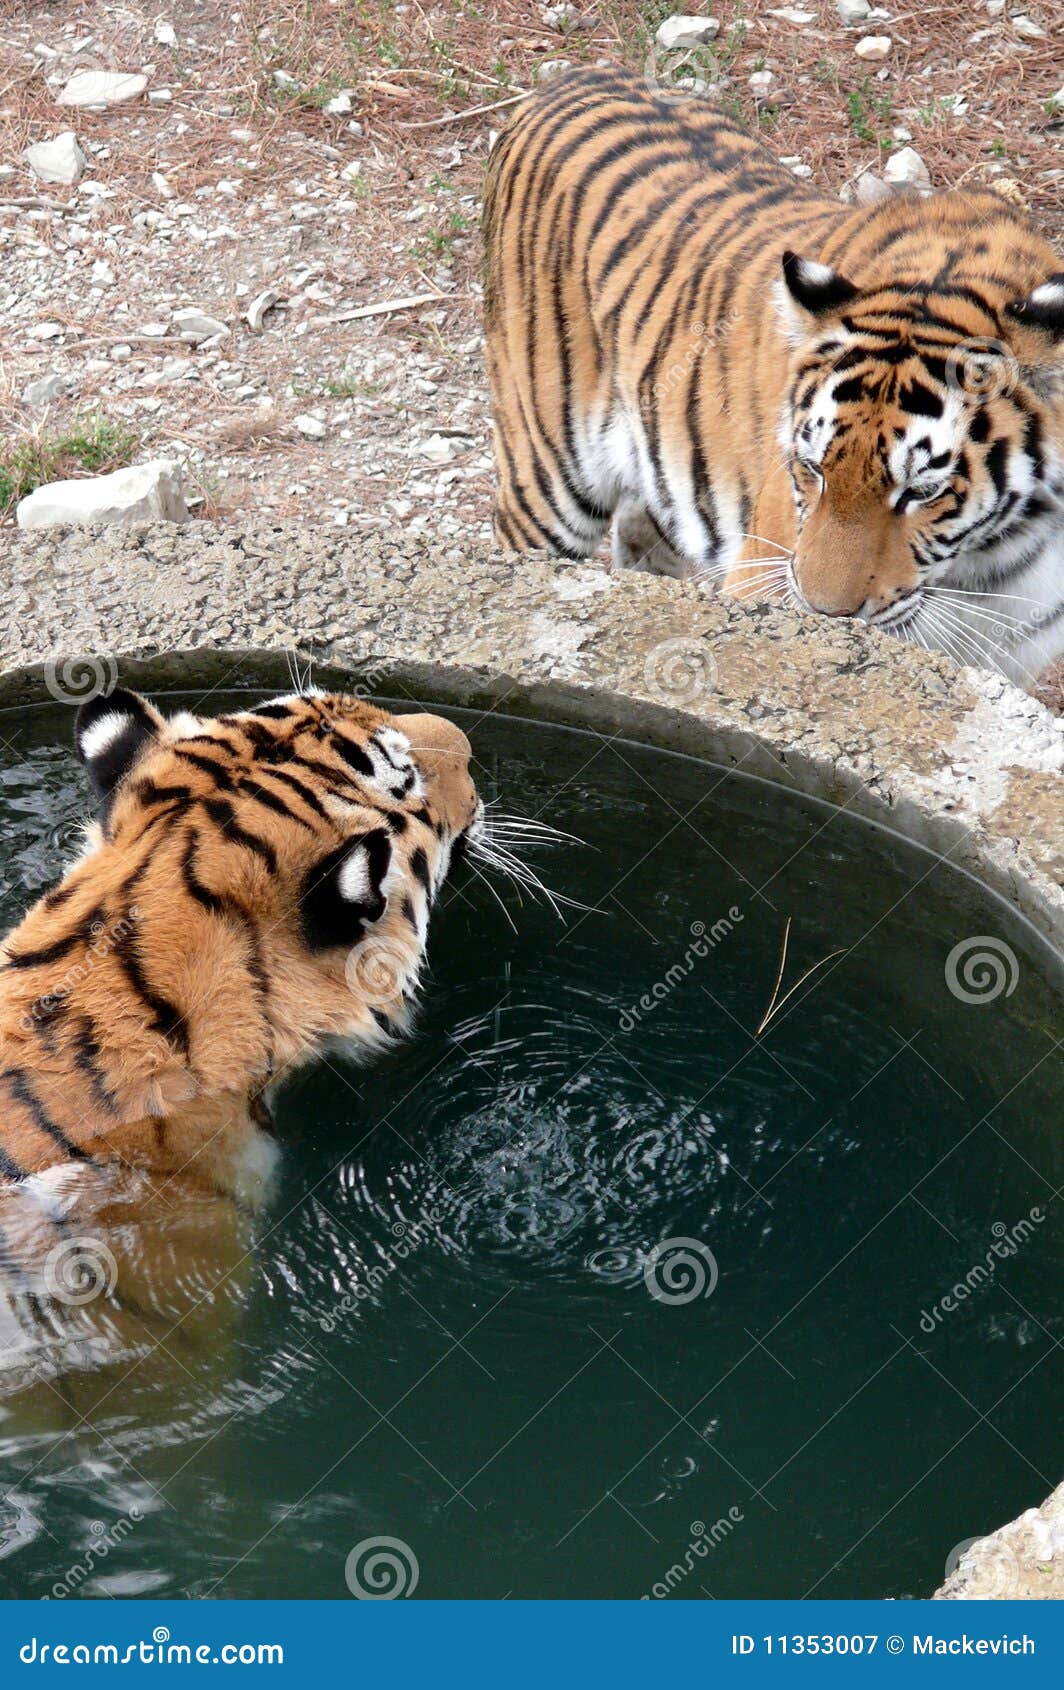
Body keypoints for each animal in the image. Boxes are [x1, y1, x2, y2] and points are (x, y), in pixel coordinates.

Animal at [483, 66, 1064, 686]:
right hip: (545, 480)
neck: (992, 567)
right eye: (814, 470)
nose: (824, 613)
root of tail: (576, 73)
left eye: (923, 491)